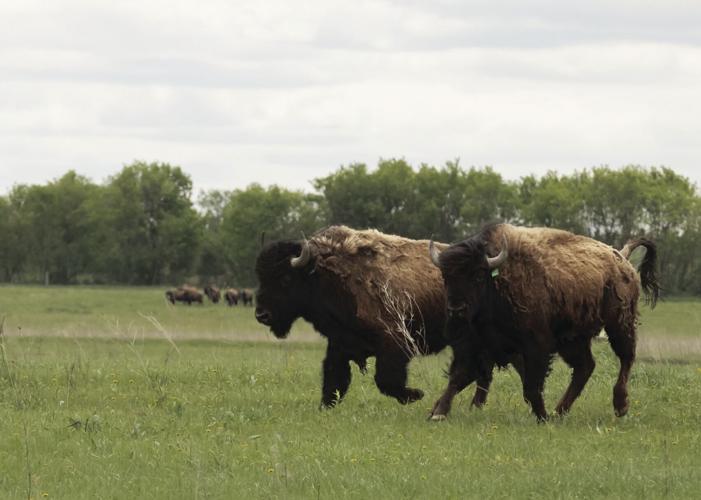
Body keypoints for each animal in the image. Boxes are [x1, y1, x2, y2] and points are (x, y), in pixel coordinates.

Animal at [254, 225, 512, 408]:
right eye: (261, 277)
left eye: (285, 278)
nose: (261, 315)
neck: (323, 274)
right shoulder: (340, 344)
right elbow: (334, 379)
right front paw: (325, 406)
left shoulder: (394, 341)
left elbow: (385, 380)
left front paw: (416, 395)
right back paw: (475, 406)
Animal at [428, 223, 659, 421]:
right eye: (446, 277)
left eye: (477, 275)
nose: (456, 310)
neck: (497, 281)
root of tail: (621, 258)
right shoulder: (475, 346)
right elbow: (458, 377)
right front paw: (438, 413)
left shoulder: (535, 346)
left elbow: (531, 385)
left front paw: (542, 417)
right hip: (572, 339)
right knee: (585, 367)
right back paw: (559, 411)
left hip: (619, 324)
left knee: (626, 358)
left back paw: (620, 406)